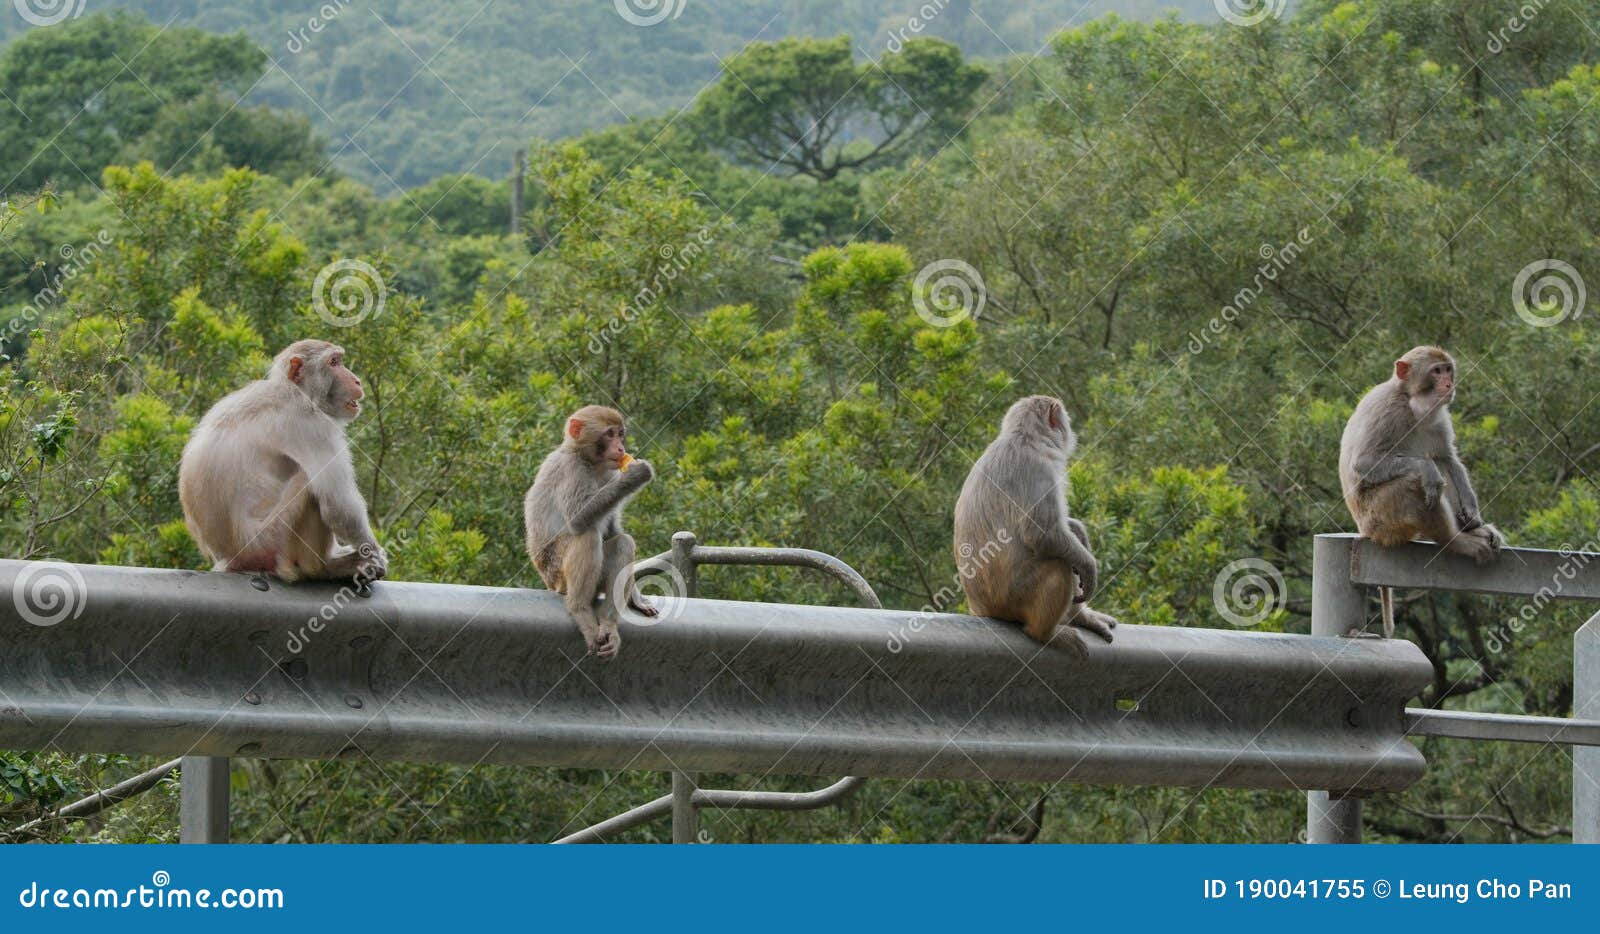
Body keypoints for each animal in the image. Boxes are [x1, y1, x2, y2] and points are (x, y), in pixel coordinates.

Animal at [179, 339, 387, 584]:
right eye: (334, 362)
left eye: (340, 360)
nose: (356, 380)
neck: (294, 390)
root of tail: (232, 560)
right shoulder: (314, 426)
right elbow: (338, 504)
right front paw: (373, 553)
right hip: (272, 543)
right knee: (311, 485)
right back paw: (326, 568)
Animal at [524, 405, 657, 660]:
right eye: (609, 434)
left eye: (620, 434)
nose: (621, 448)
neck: (590, 461)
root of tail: (547, 582)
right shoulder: (570, 468)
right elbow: (579, 519)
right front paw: (635, 475)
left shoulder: (609, 474)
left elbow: (613, 530)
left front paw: (636, 598)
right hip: (559, 577)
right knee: (588, 535)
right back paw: (580, 609)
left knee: (622, 543)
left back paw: (608, 624)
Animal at [953, 395, 1118, 658]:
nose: (1070, 429)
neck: (1025, 436)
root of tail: (980, 608)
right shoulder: (1039, 468)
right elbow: (1042, 535)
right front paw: (1089, 565)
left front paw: (1078, 529)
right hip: (1012, 598)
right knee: (1060, 564)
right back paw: (1046, 634)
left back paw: (1081, 618)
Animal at [1339, 345, 1503, 636]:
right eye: (1436, 371)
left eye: (1448, 370)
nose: (1449, 384)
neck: (1413, 403)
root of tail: (1365, 532)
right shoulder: (1387, 411)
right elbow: (1365, 464)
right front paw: (1426, 469)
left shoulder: (1439, 418)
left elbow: (1448, 458)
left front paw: (1473, 515)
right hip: (1382, 517)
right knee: (1416, 483)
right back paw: (1455, 540)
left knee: (1440, 465)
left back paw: (1471, 531)